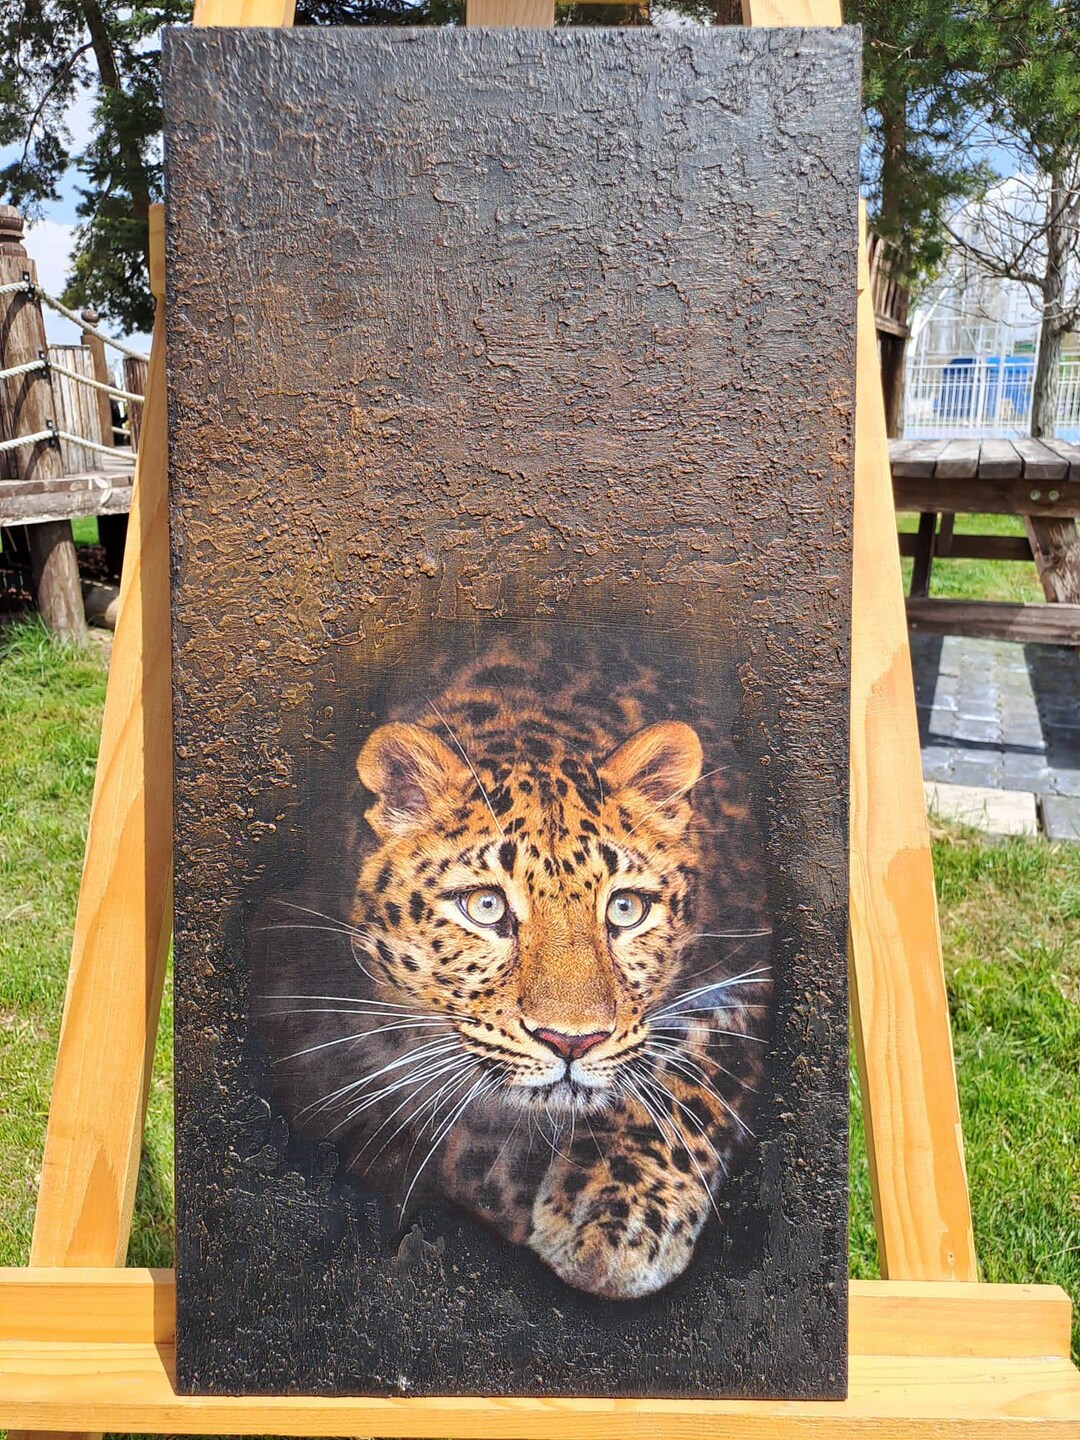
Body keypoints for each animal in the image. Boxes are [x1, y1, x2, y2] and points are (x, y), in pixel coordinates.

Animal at [257, 628, 774, 1301]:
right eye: (485, 906)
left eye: (626, 908)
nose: (572, 1042)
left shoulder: (748, 965)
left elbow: (690, 1076)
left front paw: (615, 1221)